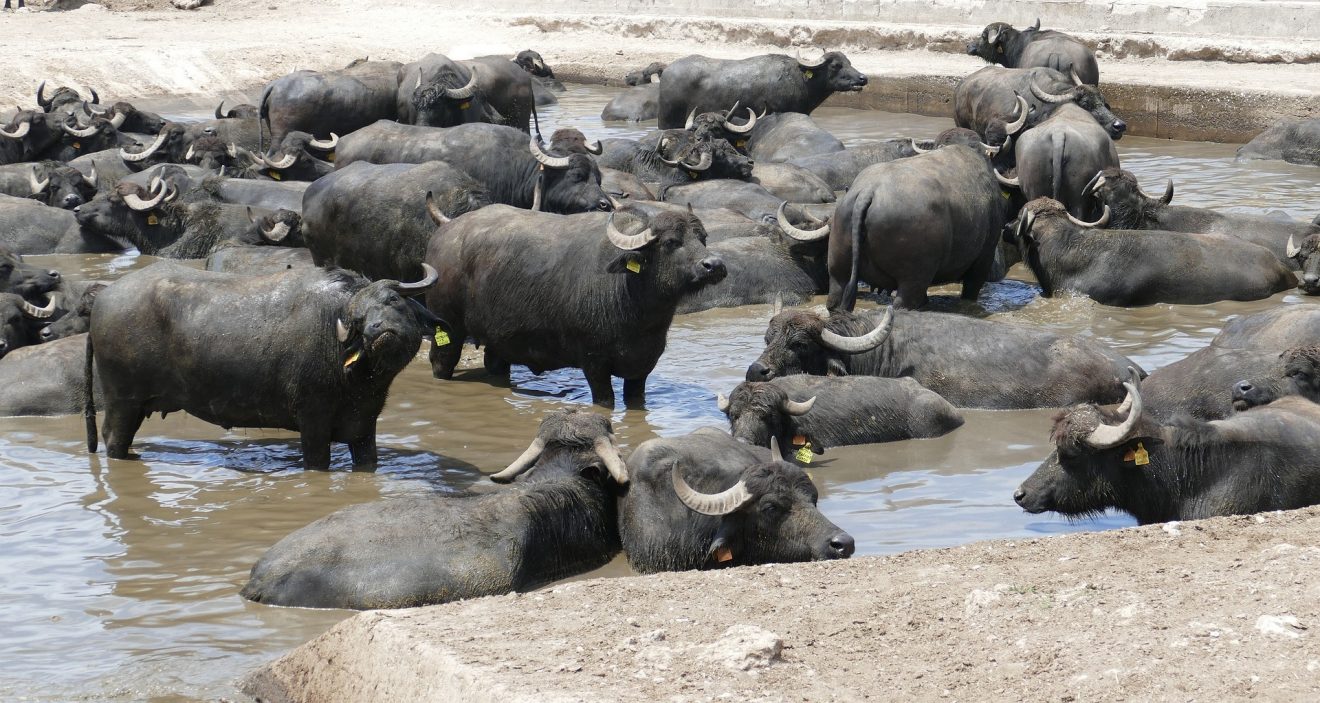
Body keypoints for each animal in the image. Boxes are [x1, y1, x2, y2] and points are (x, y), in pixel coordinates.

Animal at [86, 262, 444, 470]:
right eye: (357, 318)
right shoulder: (313, 422)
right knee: (112, 439)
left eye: (392, 300)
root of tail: (102, 300)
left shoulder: (364, 426)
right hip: (123, 402)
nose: (375, 330)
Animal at [424, 206, 726, 405]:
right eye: (671, 242)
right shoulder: (594, 364)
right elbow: (605, 401)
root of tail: (443, 234)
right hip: (447, 331)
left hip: (499, 341)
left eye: (703, 238)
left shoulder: (642, 369)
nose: (715, 265)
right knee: (440, 362)